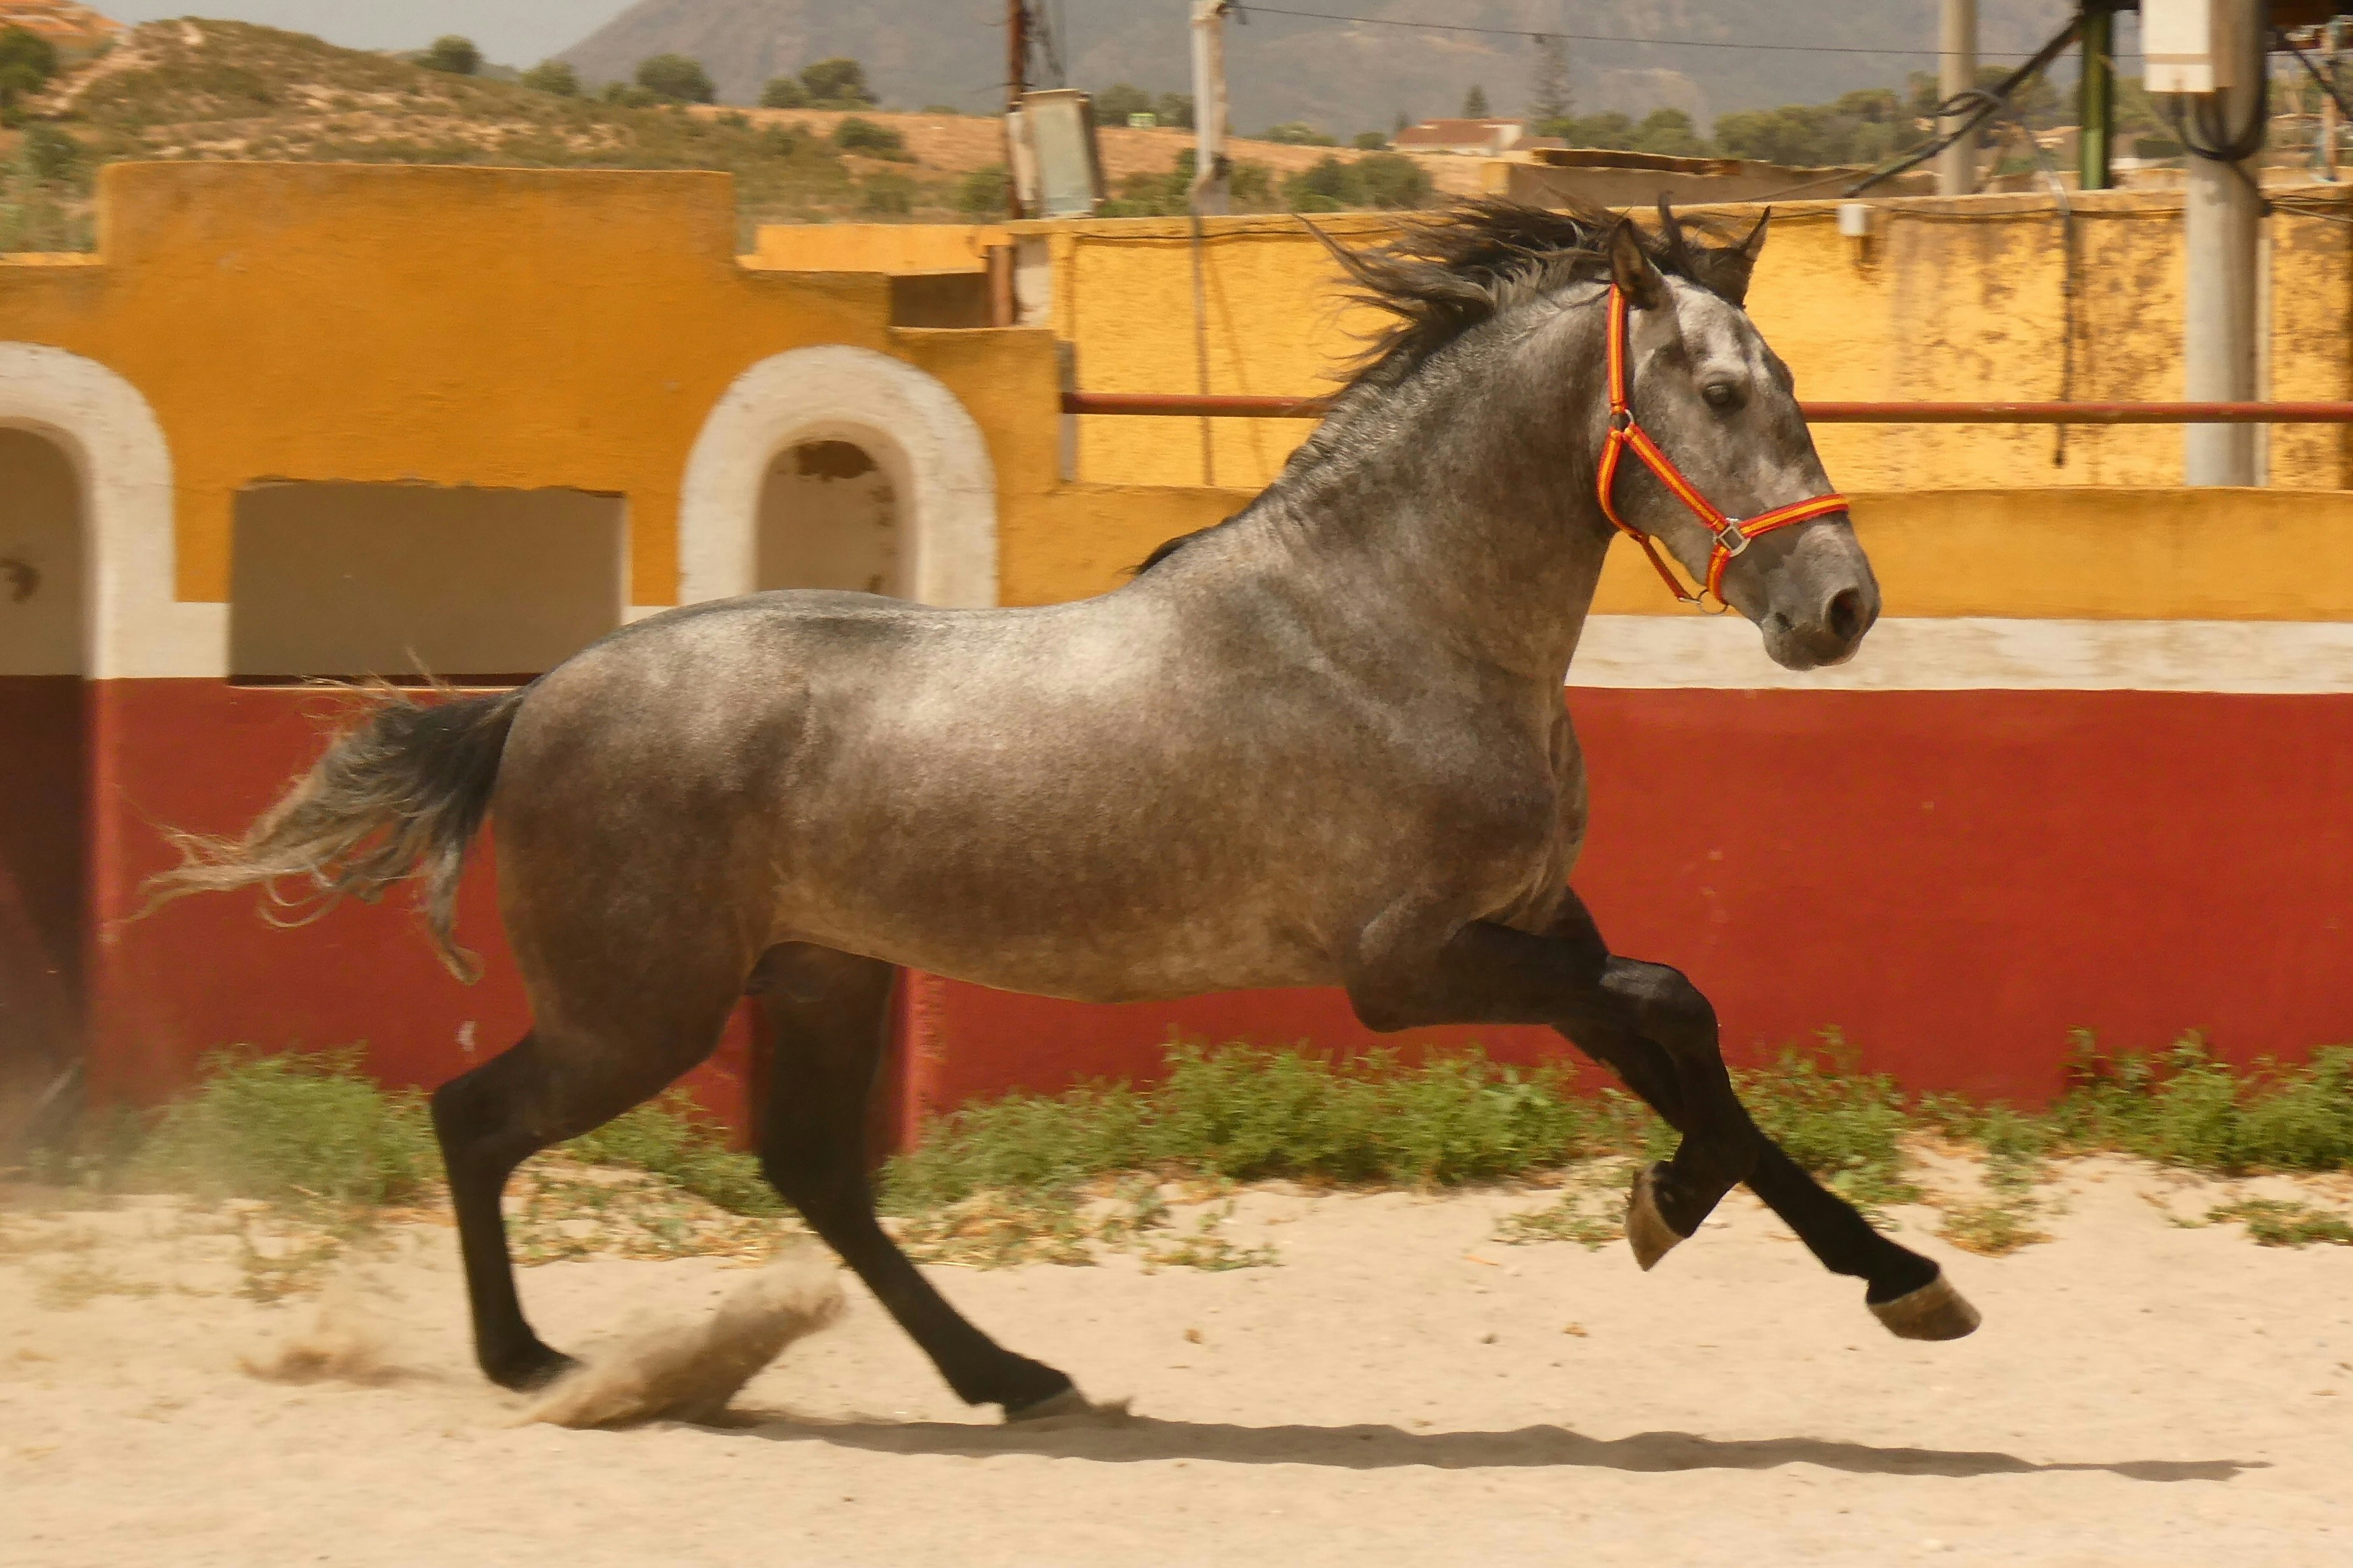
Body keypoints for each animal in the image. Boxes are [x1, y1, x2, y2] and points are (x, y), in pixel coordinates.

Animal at [148, 199, 1978, 1422]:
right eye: (1721, 394)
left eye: (1788, 382)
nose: (1837, 607)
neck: (1391, 624)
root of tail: (533, 699)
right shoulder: (1408, 967)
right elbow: (1677, 1011)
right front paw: (1686, 1216)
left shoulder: (1533, 925)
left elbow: (1686, 1044)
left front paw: (1892, 1275)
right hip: (636, 1009)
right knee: (476, 1120)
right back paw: (537, 1360)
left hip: (816, 974)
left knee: (812, 1171)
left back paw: (1008, 1373)